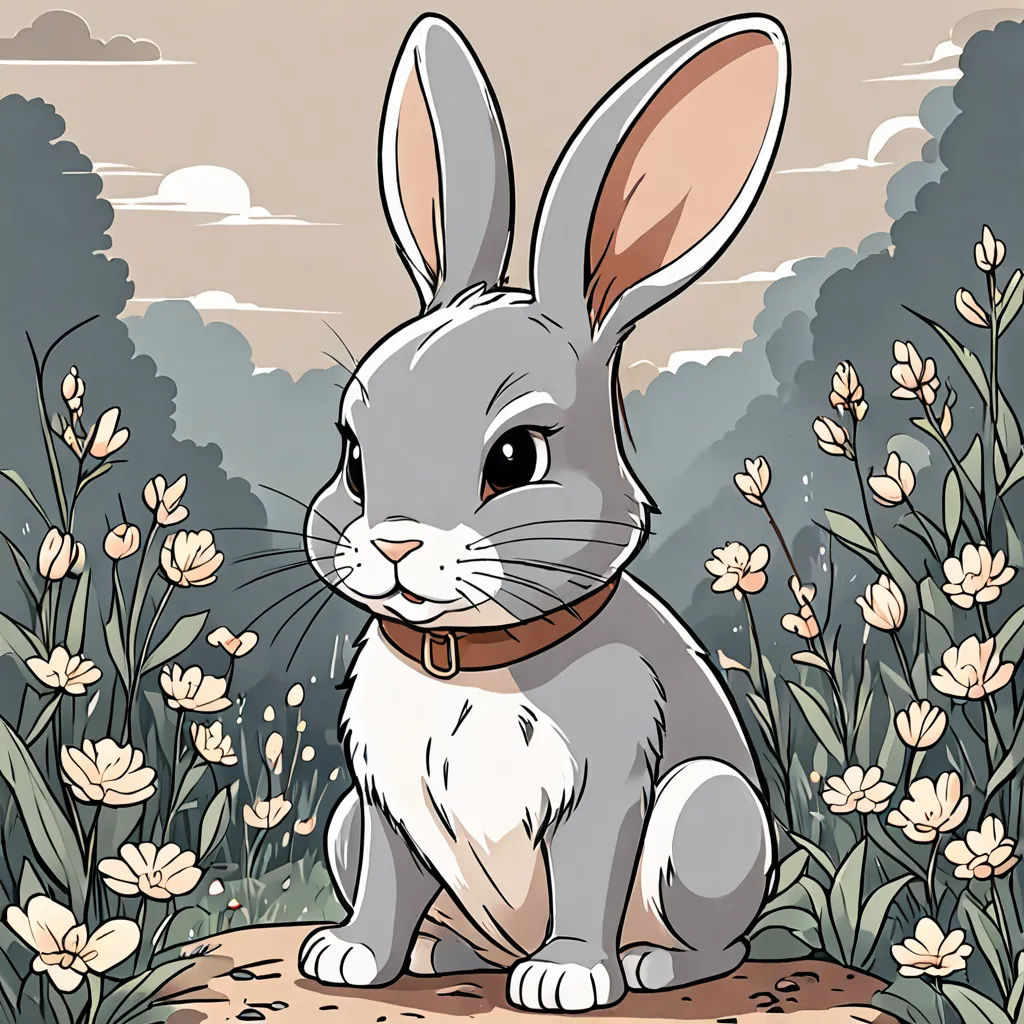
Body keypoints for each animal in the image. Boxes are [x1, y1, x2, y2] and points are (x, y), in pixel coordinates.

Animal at [300, 11, 790, 1013]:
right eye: (355, 455)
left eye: (517, 458)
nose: (395, 545)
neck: (471, 663)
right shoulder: (381, 808)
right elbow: (385, 887)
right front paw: (351, 959)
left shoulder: (608, 788)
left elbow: (589, 878)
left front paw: (565, 979)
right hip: (343, 823)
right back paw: (444, 955)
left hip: (704, 816)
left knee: (718, 946)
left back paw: (645, 969)